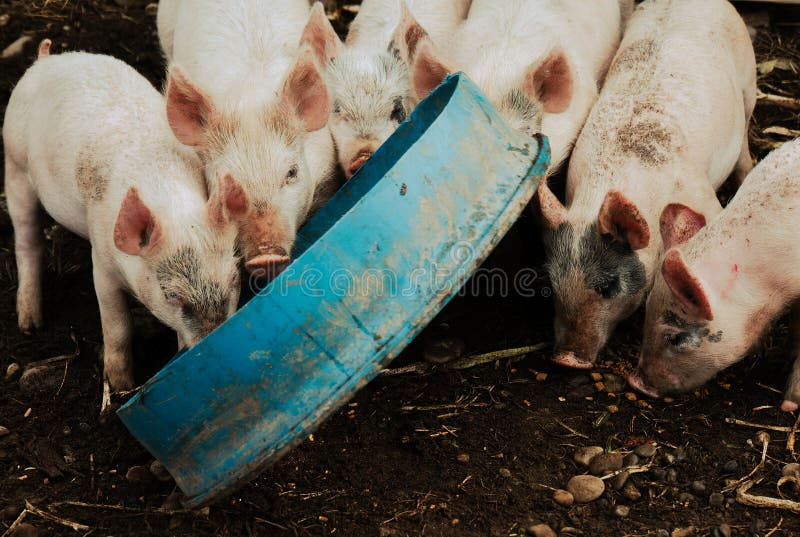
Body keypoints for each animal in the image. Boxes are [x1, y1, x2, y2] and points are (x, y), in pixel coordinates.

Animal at [3, 45, 241, 414]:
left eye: (233, 277)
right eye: (171, 295)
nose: (214, 340)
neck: (169, 201)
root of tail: (46, 60)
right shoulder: (102, 263)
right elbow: (118, 327)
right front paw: (121, 387)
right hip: (14, 165)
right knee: (26, 238)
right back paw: (31, 324)